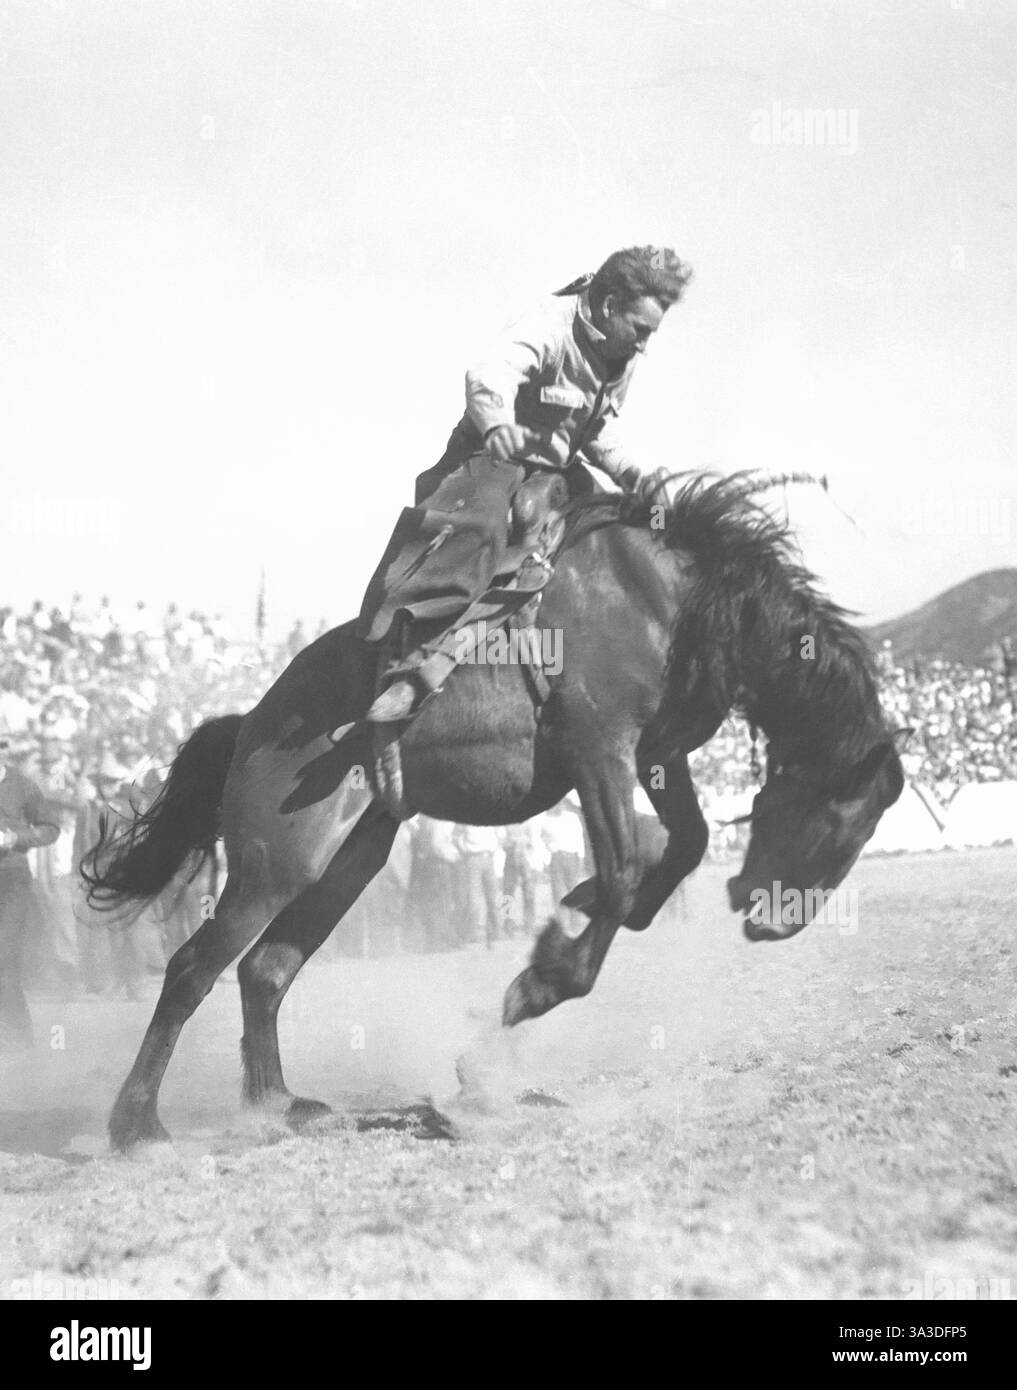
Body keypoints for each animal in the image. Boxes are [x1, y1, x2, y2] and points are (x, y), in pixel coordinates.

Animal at [83, 473, 904, 1150]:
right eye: (835, 826)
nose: (774, 923)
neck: (674, 599)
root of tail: (252, 720)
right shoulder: (599, 750)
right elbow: (624, 871)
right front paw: (530, 991)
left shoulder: (656, 754)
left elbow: (681, 848)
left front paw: (575, 917)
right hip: (276, 859)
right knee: (193, 967)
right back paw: (137, 1126)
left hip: (351, 856)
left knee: (265, 969)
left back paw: (278, 1105)